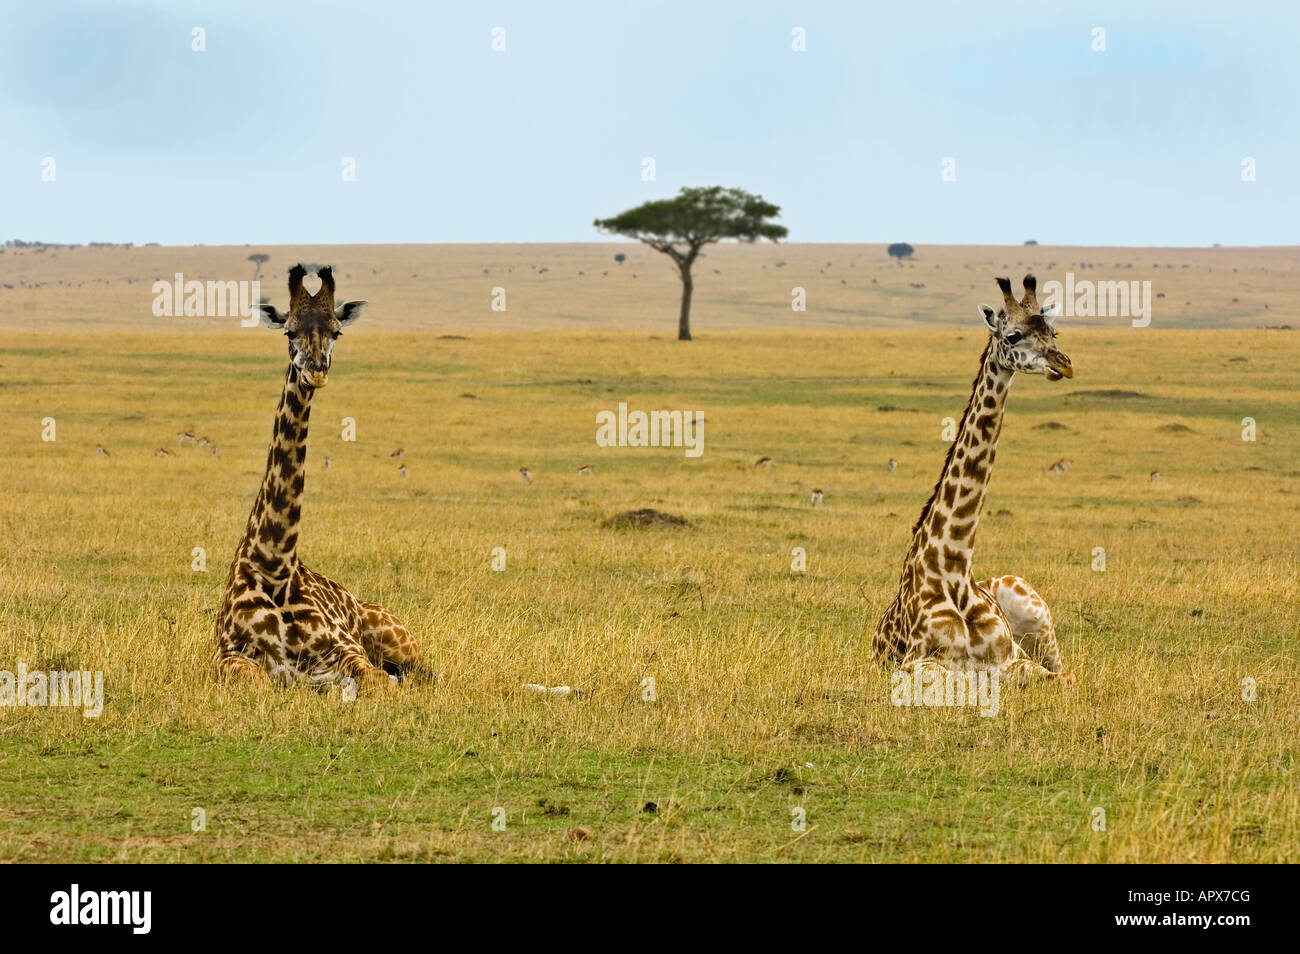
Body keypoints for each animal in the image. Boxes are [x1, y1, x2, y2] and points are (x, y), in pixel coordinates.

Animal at [213, 264, 419, 692]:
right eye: (288, 331)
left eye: (336, 331)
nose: (316, 371)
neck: (274, 565)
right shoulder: (225, 657)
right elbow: (257, 681)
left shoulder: (345, 652)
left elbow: (377, 680)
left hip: (404, 642)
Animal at [872, 274, 1076, 685]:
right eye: (1013, 335)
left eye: (1053, 331)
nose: (1064, 363)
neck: (954, 569)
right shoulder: (914, 662)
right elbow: (954, 676)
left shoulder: (1013, 656)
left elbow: (1064, 679)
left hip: (1037, 614)